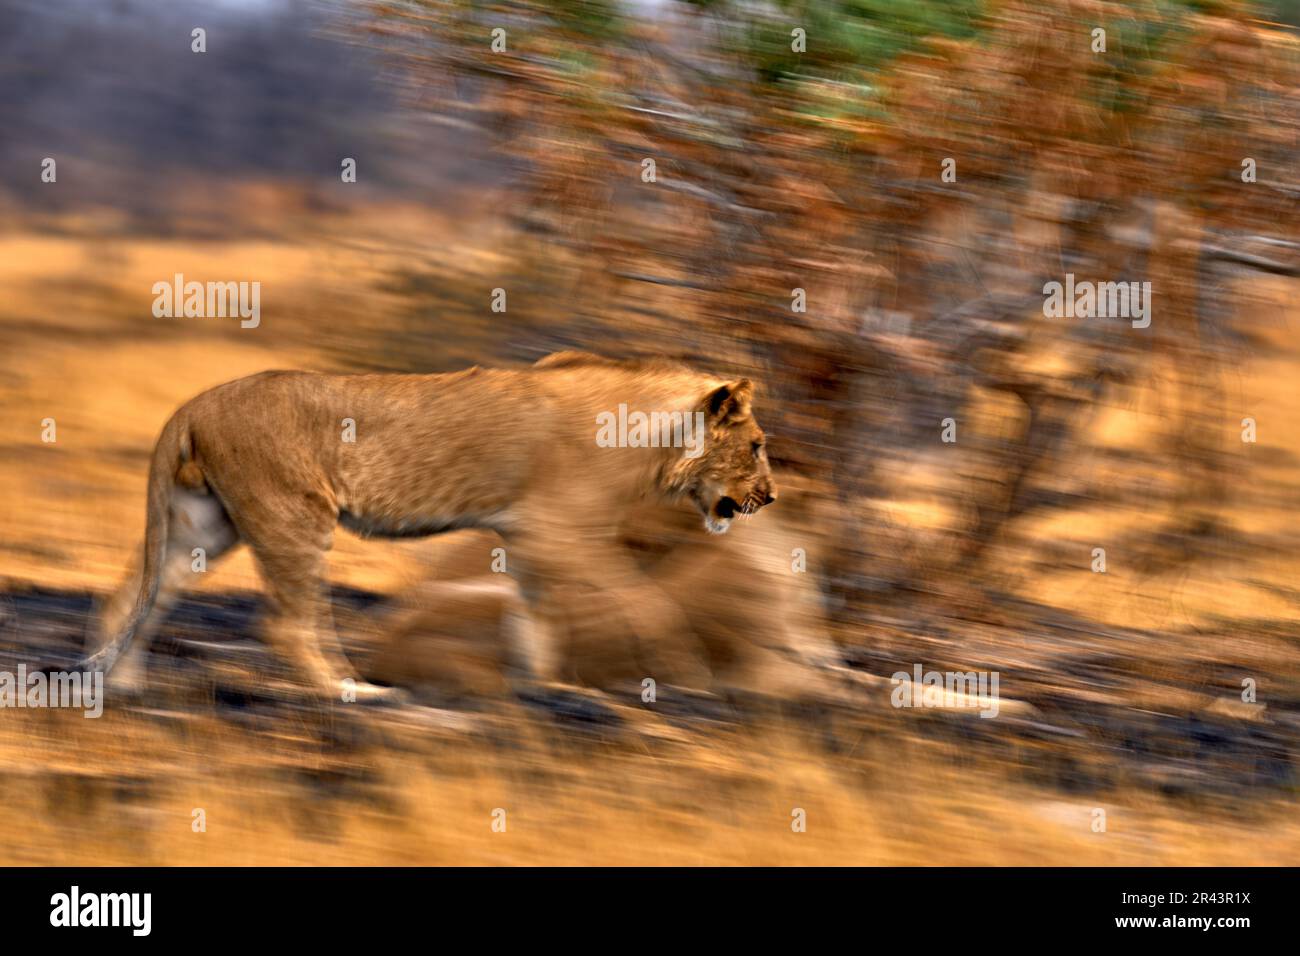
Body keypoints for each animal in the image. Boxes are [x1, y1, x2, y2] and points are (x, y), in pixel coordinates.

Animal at [81, 352, 777, 702]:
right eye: (758, 446)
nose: (770, 497)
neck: (653, 440)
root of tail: (194, 403)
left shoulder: (530, 539)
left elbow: (535, 615)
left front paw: (537, 683)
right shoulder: (563, 534)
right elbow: (644, 599)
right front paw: (689, 672)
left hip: (206, 523)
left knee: (138, 595)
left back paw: (122, 682)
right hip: (293, 516)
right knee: (286, 622)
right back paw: (352, 690)